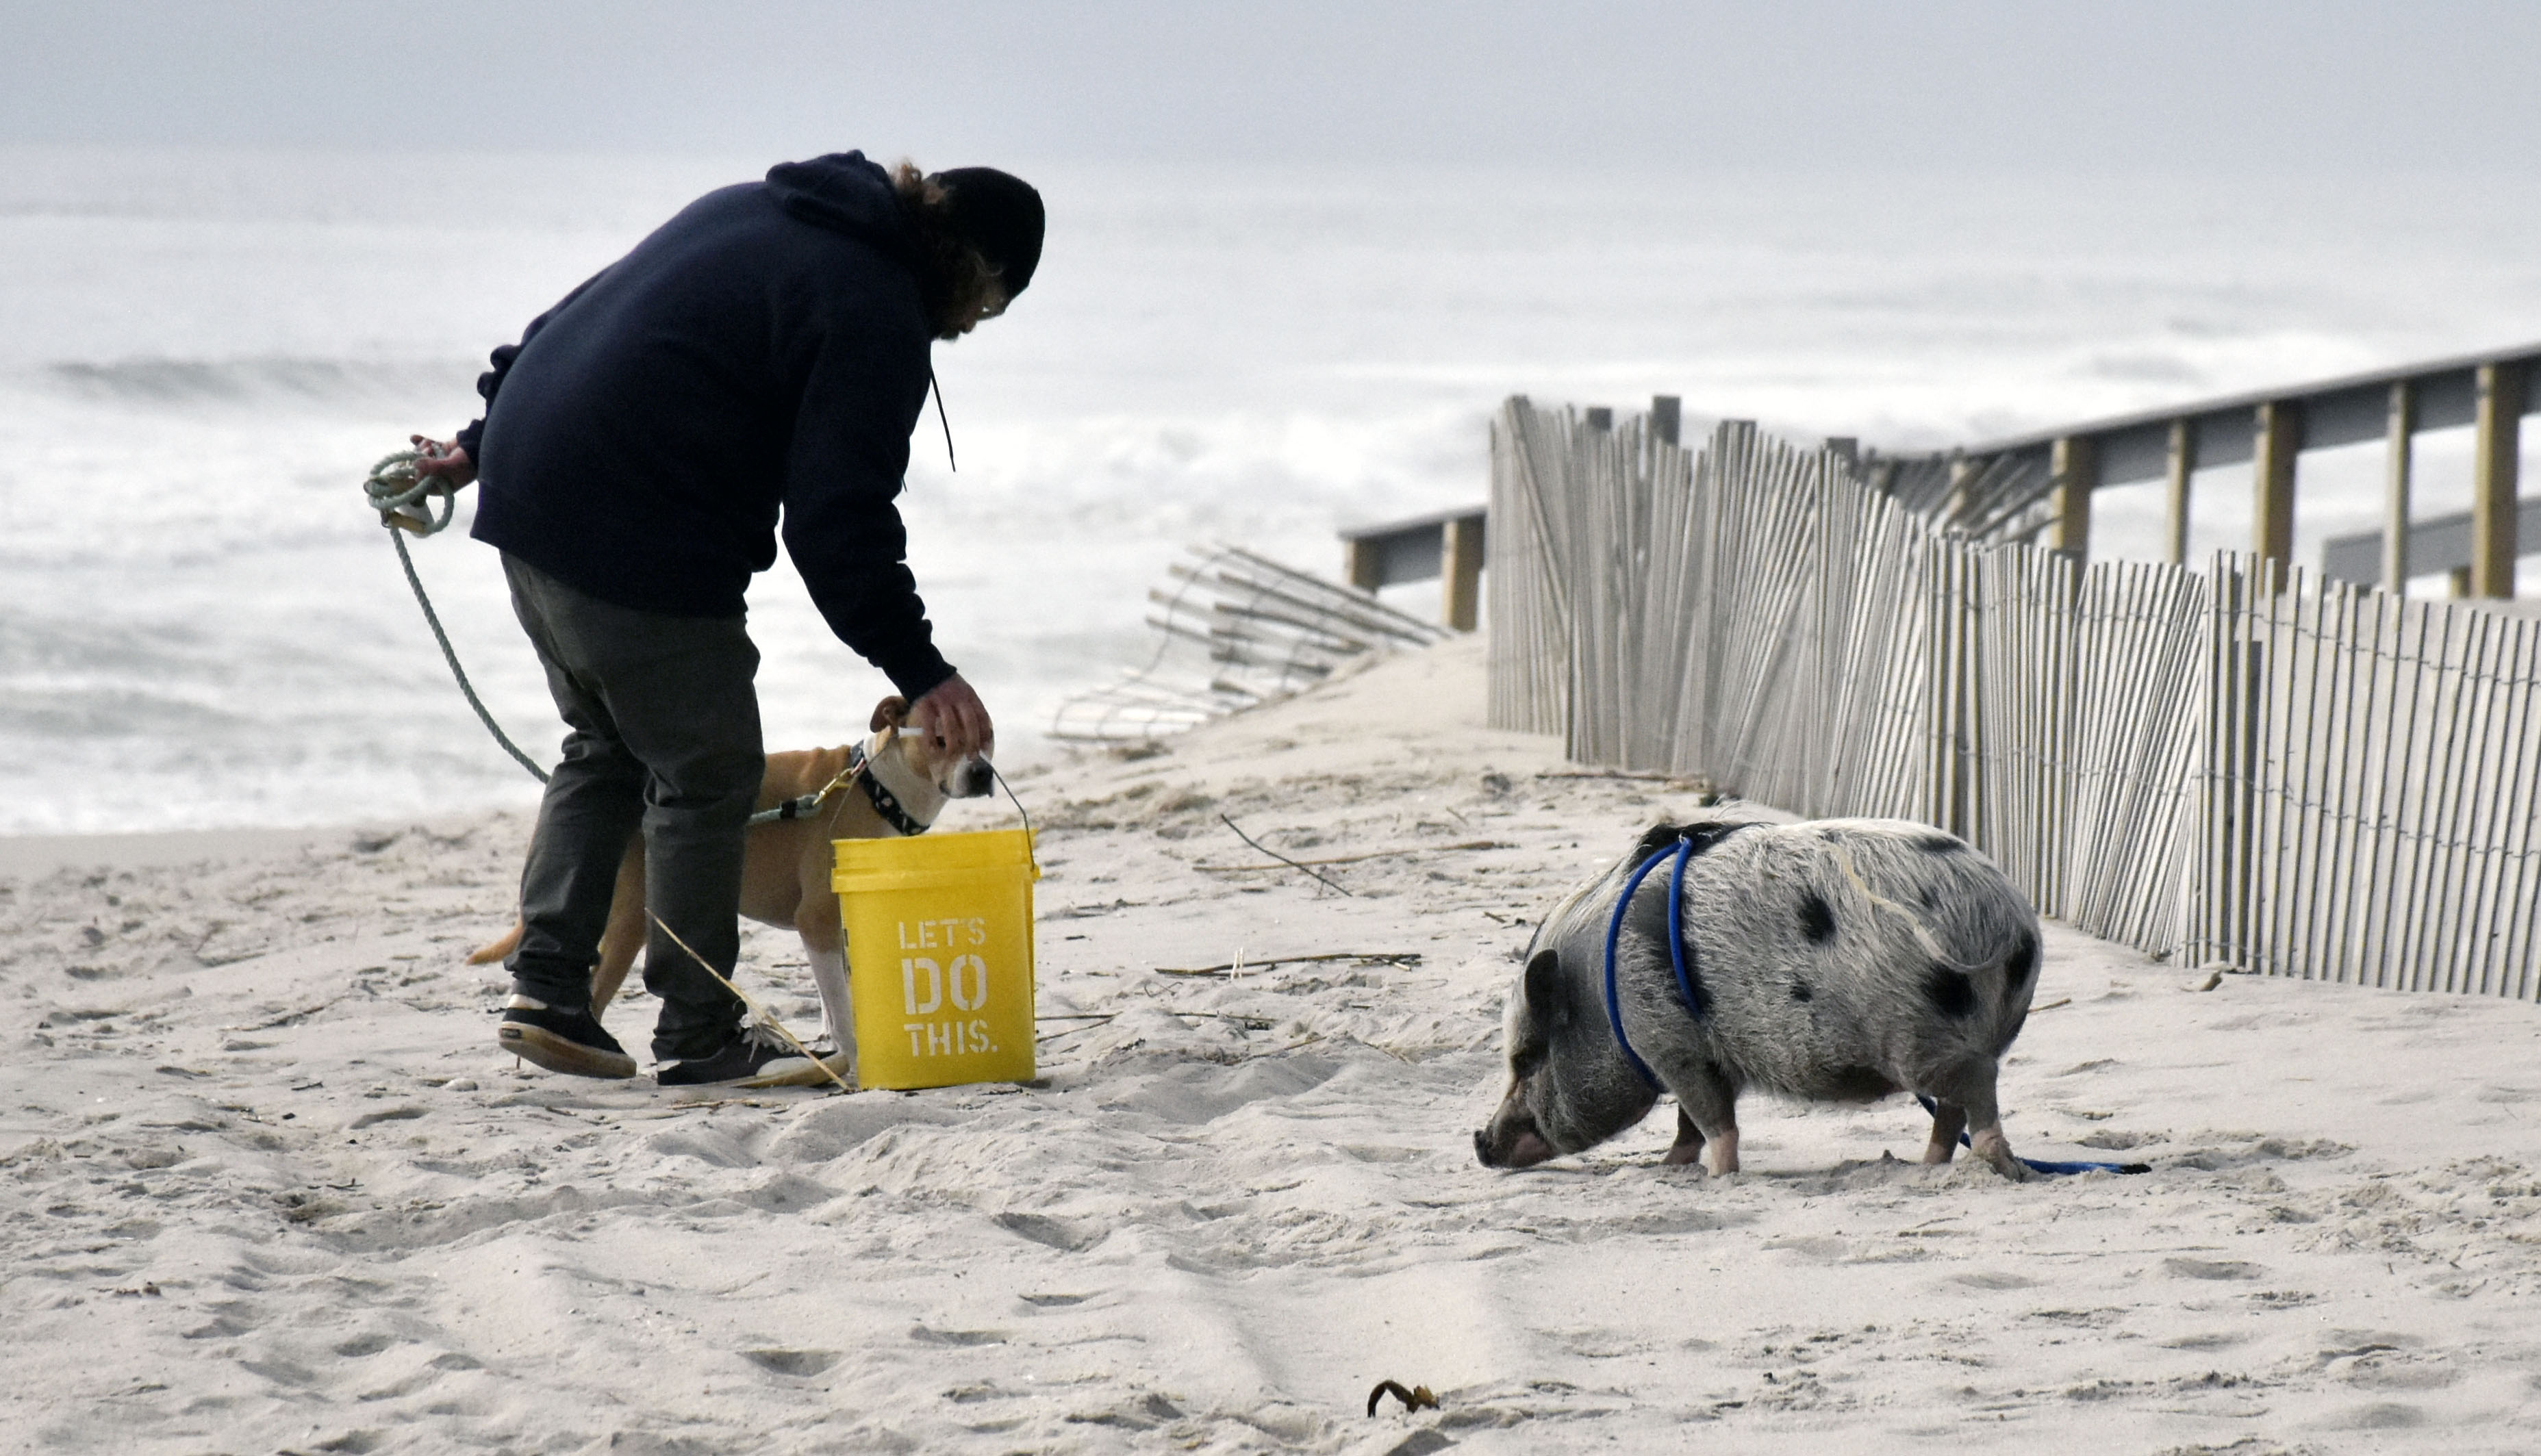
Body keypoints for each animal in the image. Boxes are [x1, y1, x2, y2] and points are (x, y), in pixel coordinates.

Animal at [1474, 816, 2042, 1180]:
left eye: (1526, 1057)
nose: (1479, 1141)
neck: (1601, 987)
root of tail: (2016, 927)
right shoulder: (1702, 1054)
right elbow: (1689, 1122)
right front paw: (1668, 1167)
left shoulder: (1670, 1043)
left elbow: (1712, 1120)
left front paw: (1718, 1178)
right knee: (1952, 1110)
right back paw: (1925, 1167)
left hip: (1916, 1040)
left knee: (1975, 1084)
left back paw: (1997, 1166)